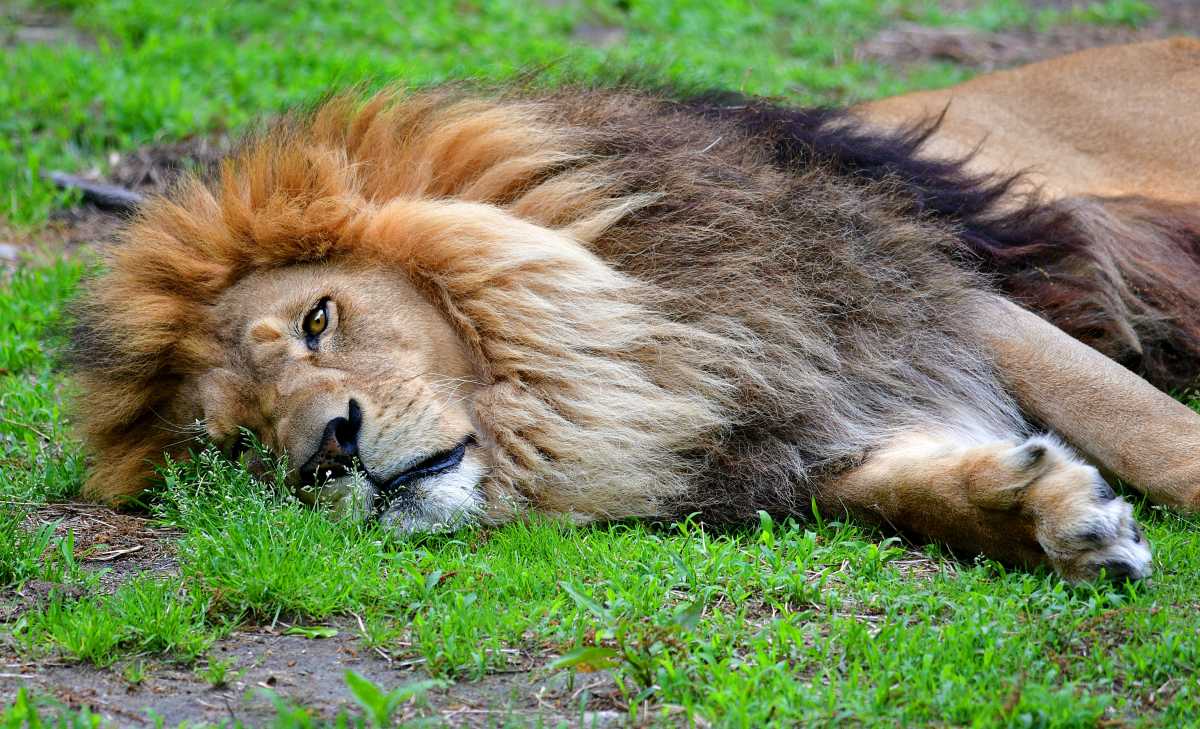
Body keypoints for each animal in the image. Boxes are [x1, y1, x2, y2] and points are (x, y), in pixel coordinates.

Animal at [70, 39, 1200, 583]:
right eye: (242, 446)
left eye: (317, 320)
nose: (328, 452)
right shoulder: (775, 417)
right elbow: (900, 490)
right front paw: (1048, 516)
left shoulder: (931, 289)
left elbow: (1157, 434)